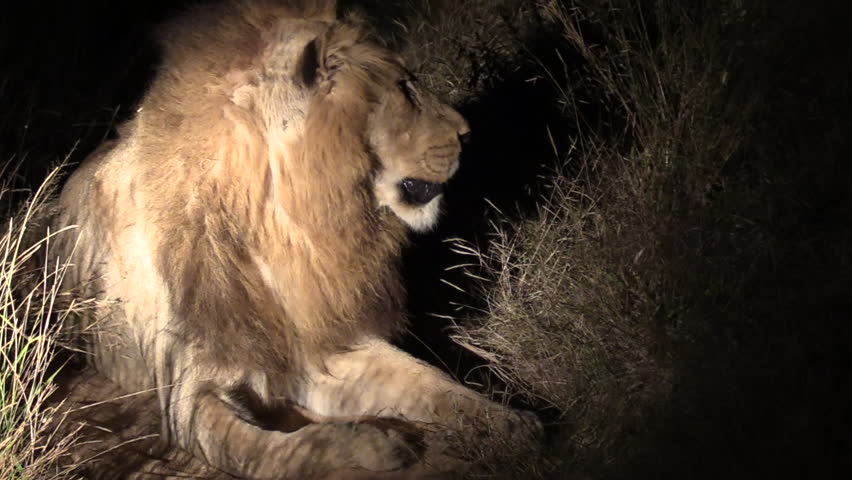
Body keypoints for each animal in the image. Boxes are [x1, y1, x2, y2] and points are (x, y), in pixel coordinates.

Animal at [51, 0, 539, 478]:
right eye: (404, 88)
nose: (467, 133)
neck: (280, 232)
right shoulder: (186, 394)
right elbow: (265, 448)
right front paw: (367, 444)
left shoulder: (317, 348)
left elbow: (426, 380)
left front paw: (511, 425)